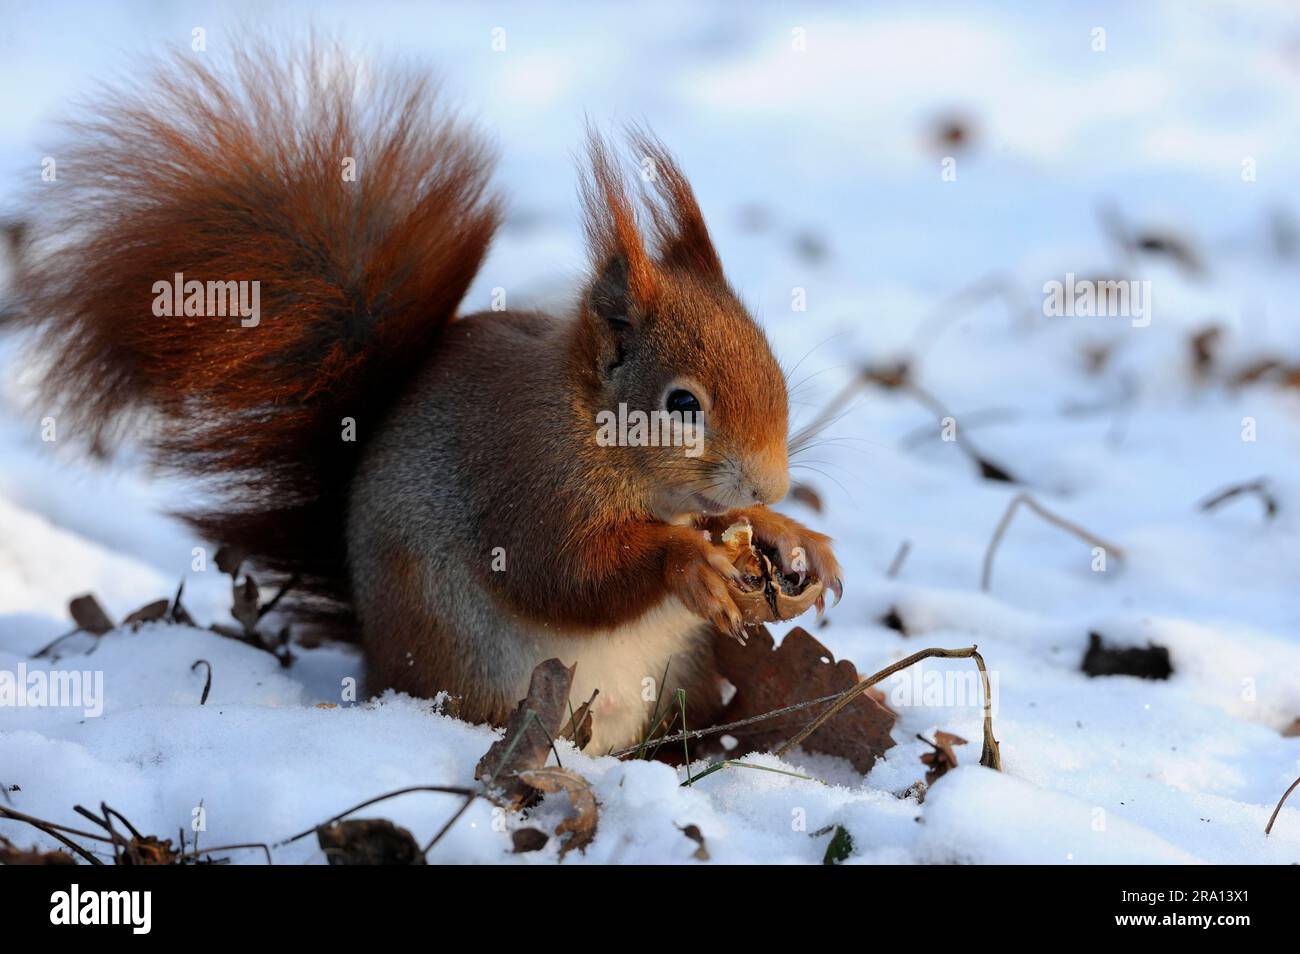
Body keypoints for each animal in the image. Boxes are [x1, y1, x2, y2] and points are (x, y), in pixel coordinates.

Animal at [18, 44, 842, 753]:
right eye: (682, 405)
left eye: (772, 365)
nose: (771, 483)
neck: (595, 429)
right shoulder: (527, 477)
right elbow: (567, 574)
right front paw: (690, 561)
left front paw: (792, 536)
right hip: (469, 662)